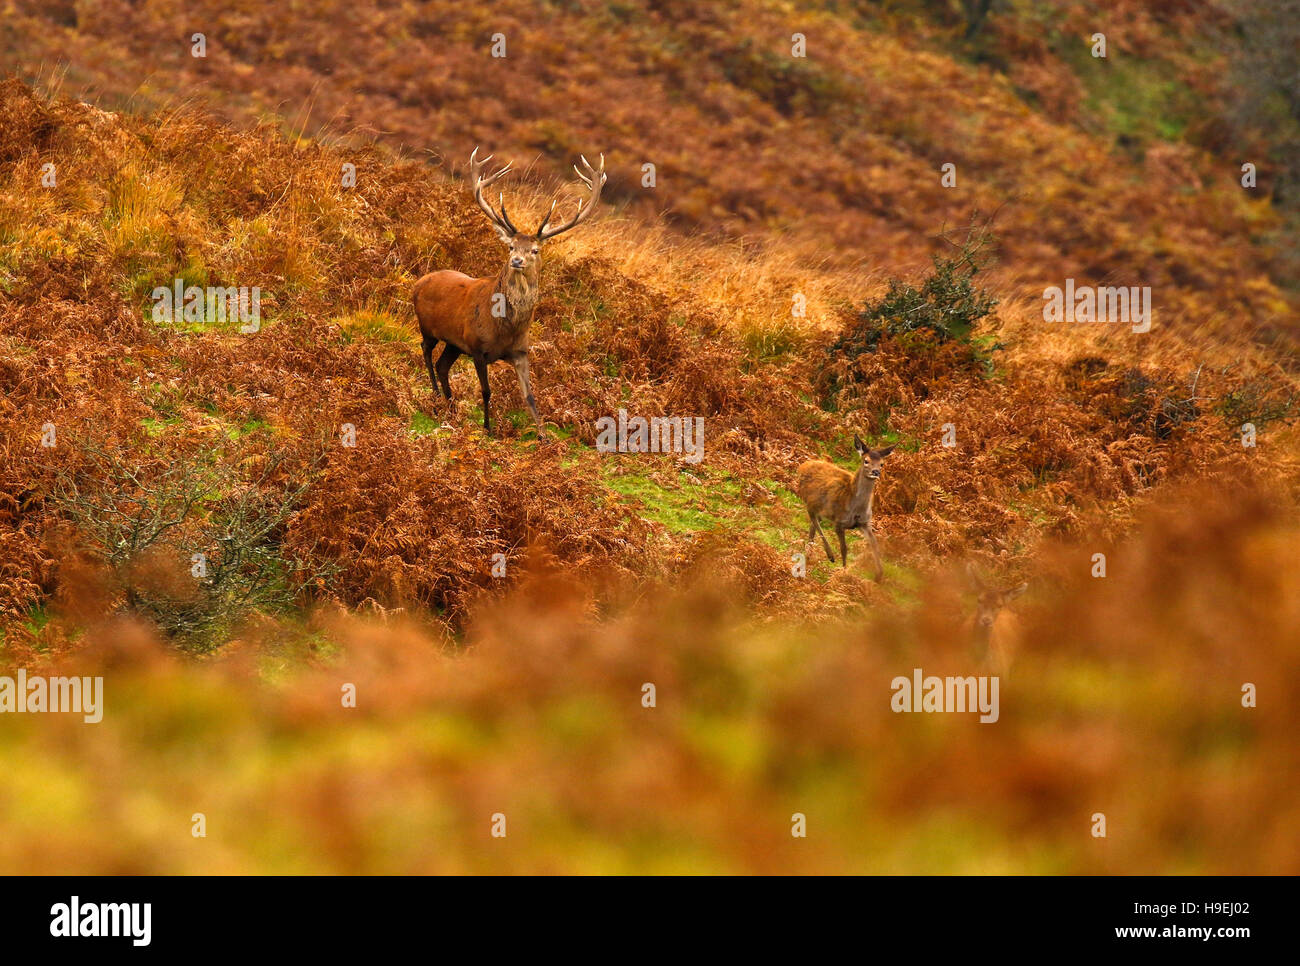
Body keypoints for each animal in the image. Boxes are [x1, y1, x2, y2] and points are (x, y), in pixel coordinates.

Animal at [413, 147, 607, 439]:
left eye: (534, 250)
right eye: (511, 247)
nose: (517, 261)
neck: (505, 327)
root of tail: (418, 282)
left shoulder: (520, 352)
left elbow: (530, 396)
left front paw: (543, 435)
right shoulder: (477, 347)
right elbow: (486, 390)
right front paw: (487, 428)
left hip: (454, 343)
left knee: (442, 364)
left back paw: (450, 406)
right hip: (428, 327)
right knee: (425, 351)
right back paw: (436, 396)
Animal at [794, 436, 894, 580]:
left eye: (882, 463)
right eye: (866, 461)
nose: (876, 472)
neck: (854, 507)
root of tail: (802, 466)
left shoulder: (865, 522)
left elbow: (874, 544)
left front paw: (879, 575)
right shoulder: (839, 522)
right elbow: (844, 548)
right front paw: (844, 572)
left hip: (821, 509)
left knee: (814, 522)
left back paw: (809, 551)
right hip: (809, 500)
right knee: (813, 518)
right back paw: (830, 555)